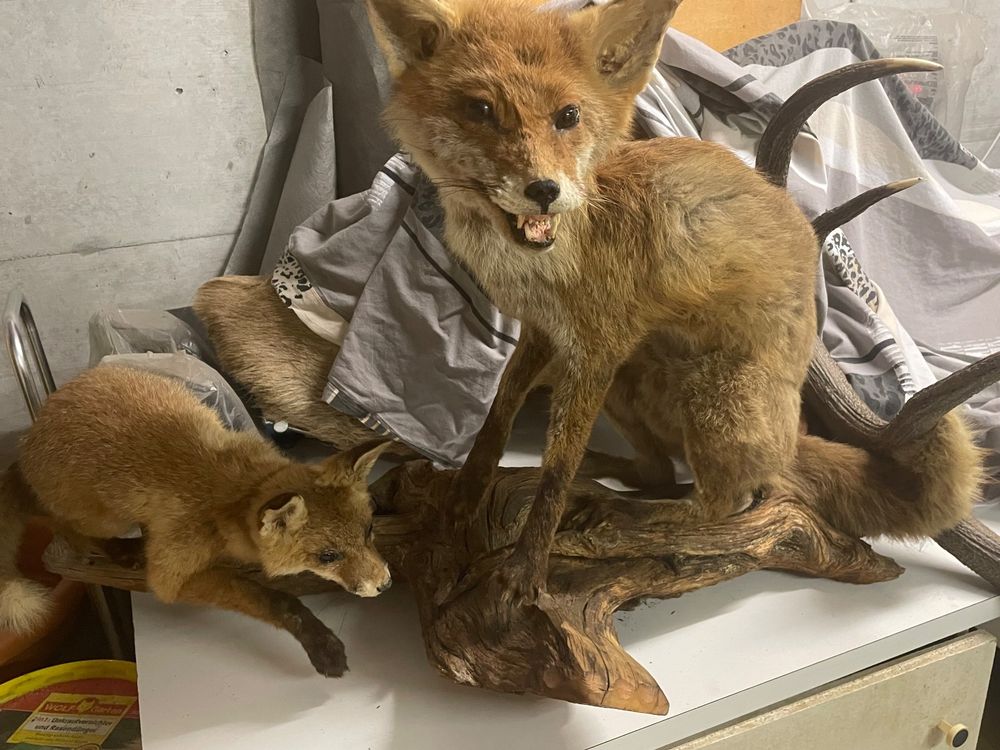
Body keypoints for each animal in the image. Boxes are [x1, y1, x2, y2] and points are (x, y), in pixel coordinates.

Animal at [0, 365, 394, 677]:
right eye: (328, 557)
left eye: (369, 531)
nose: (385, 585)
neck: (238, 491)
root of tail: (30, 434)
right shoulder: (170, 577)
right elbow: (274, 599)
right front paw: (320, 642)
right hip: (103, 519)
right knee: (59, 523)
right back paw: (118, 549)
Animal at [364, 0, 988, 605]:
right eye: (480, 110)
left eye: (568, 116)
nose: (544, 190)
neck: (551, 258)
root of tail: (790, 437)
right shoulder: (546, 335)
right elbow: (497, 418)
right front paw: (465, 497)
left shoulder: (597, 348)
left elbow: (557, 474)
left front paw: (526, 569)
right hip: (630, 382)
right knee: (659, 472)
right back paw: (611, 478)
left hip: (713, 399)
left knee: (723, 506)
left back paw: (624, 511)